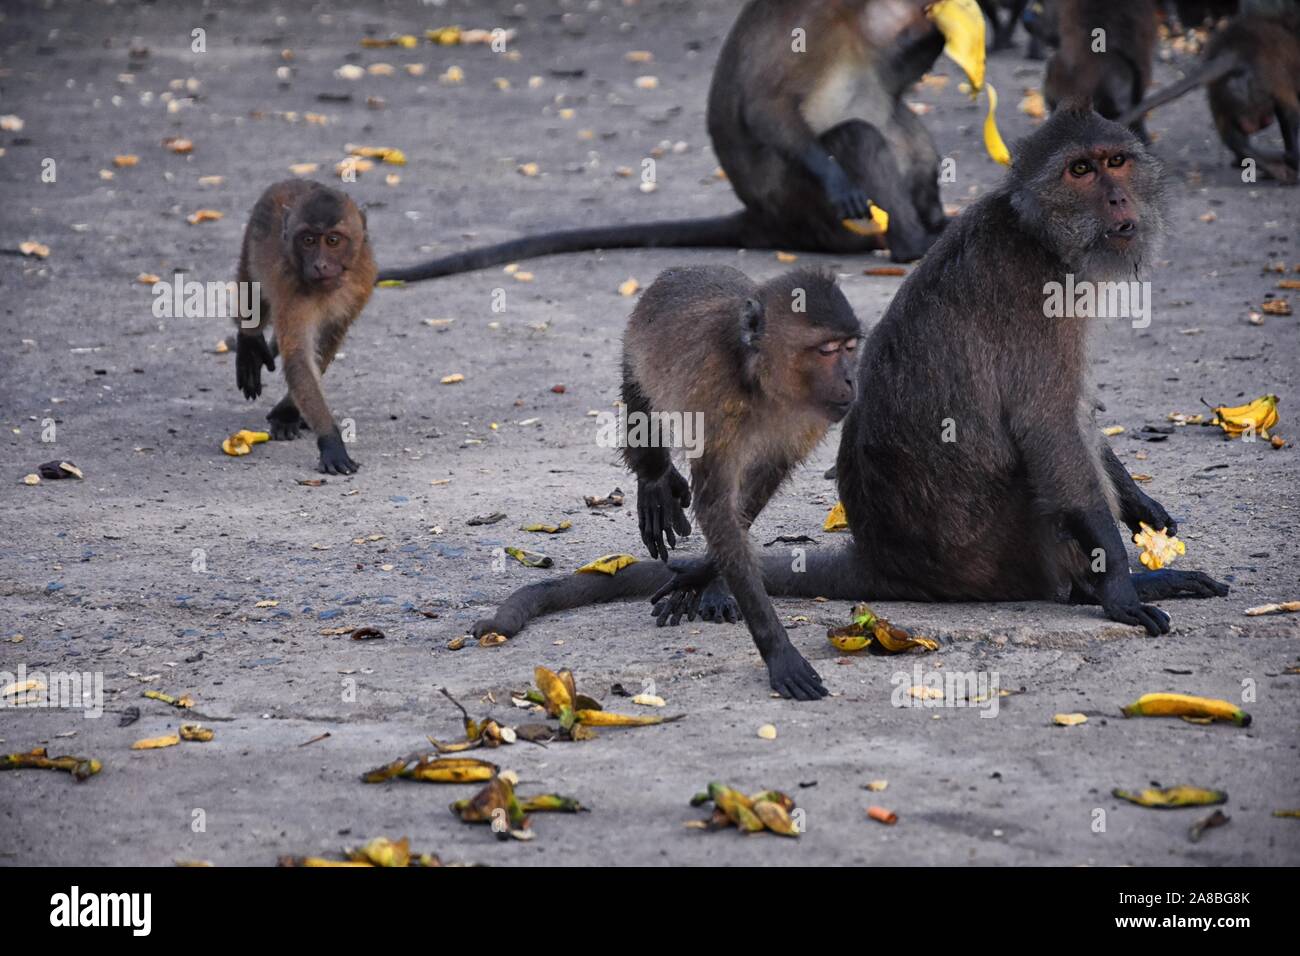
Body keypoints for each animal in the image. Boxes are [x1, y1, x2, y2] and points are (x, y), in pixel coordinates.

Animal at [233, 180, 377, 474]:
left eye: (333, 240)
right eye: (308, 240)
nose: (320, 264)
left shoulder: (362, 280)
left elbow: (325, 344)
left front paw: (287, 413)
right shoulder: (291, 289)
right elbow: (299, 356)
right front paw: (331, 440)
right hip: (252, 234)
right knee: (252, 284)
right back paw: (249, 340)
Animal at [378, 0, 953, 283]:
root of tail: (768, 218)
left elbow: (896, 75)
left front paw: (941, 30)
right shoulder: (811, 21)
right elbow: (765, 108)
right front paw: (836, 177)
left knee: (905, 128)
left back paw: (937, 220)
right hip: (811, 208)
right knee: (859, 134)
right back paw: (914, 242)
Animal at [465, 104, 1229, 700]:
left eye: (1117, 162)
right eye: (1080, 172)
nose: (1119, 202)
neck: (1034, 231)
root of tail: (891, 562)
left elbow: (1078, 422)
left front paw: (1138, 504)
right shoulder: (1039, 297)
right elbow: (1049, 427)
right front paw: (1121, 583)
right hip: (1010, 551)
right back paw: (1101, 587)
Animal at [1120, 1, 1299, 184]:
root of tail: (1234, 50)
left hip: (1224, 93)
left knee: (1236, 139)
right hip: (1262, 92)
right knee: (1286, 118)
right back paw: (1286, 166)